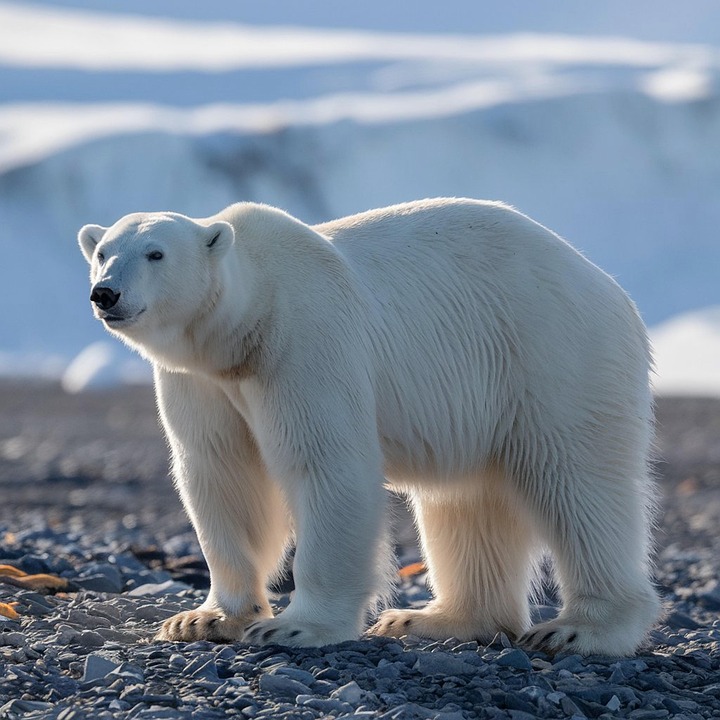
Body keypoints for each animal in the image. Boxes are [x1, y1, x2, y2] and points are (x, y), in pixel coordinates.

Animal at [78, 198, 659, 655]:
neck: (247, 326)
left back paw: (577, 629)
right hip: (483, 393)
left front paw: (293, 628)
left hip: (554, 356)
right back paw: (432, 618)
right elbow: (222, 474)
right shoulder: (202, 381)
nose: (105, 293)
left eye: (155, 253)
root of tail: (610, 288)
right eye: (104, 252)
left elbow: (326, 466)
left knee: (578, 485)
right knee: (467, 499)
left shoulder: (306, 343)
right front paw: (204, 618)